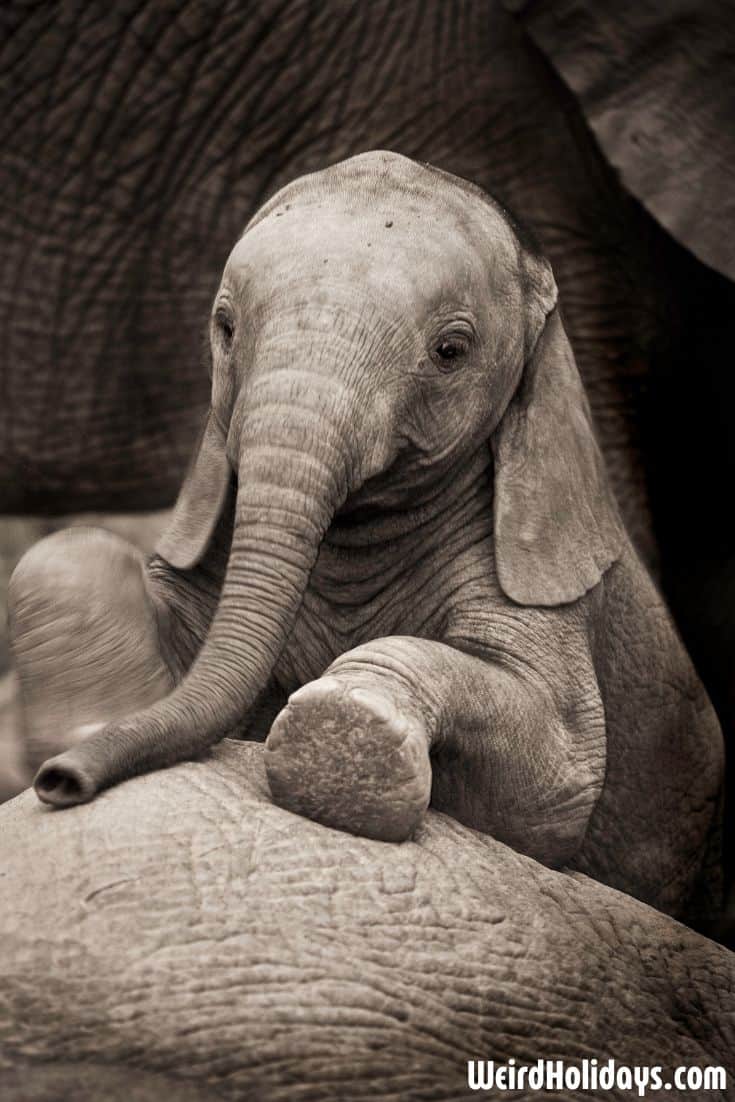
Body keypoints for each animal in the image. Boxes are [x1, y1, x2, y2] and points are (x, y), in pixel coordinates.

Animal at [8, 153, 724, 927]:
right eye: (225, 327)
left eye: (450, 351)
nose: (60, 783)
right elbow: (71, 564)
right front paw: (92, 726)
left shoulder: (546, 592)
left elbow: (553, 785)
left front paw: (341, 734)